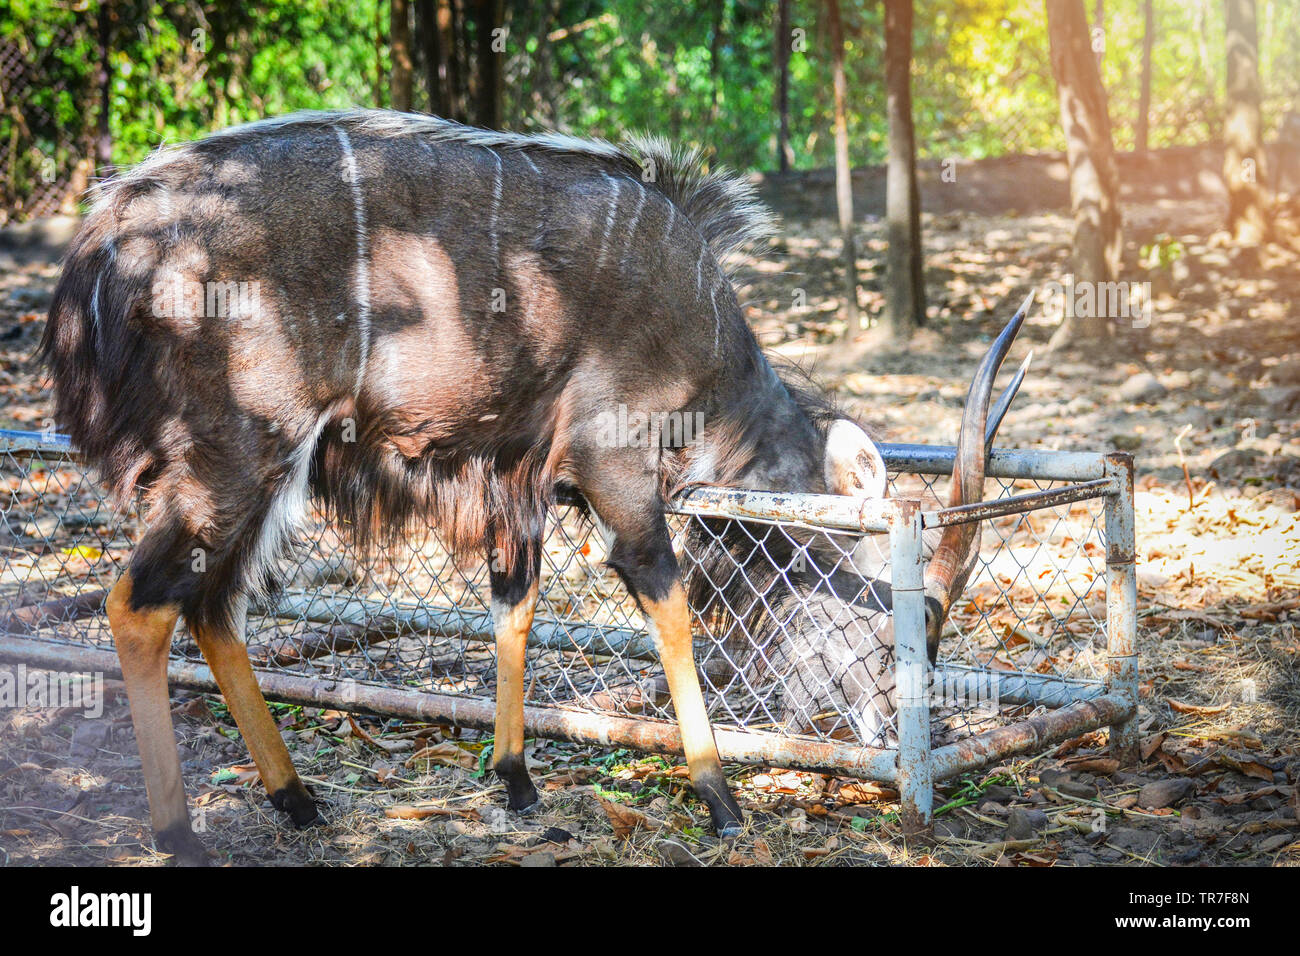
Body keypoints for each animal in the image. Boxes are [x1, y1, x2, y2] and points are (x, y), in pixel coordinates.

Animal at [40, 109, 1027, 864]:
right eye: (905, 624)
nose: (895, 726)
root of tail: (102, 246)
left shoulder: (520, 482)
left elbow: (513, 601)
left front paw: (515, 781)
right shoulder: (616, 469)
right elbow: (666, 600)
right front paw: (720, 797)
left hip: (256, 472)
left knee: (211, 607)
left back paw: (297, 799)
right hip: (239, 454)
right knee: (139, 604)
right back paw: (178, 834)